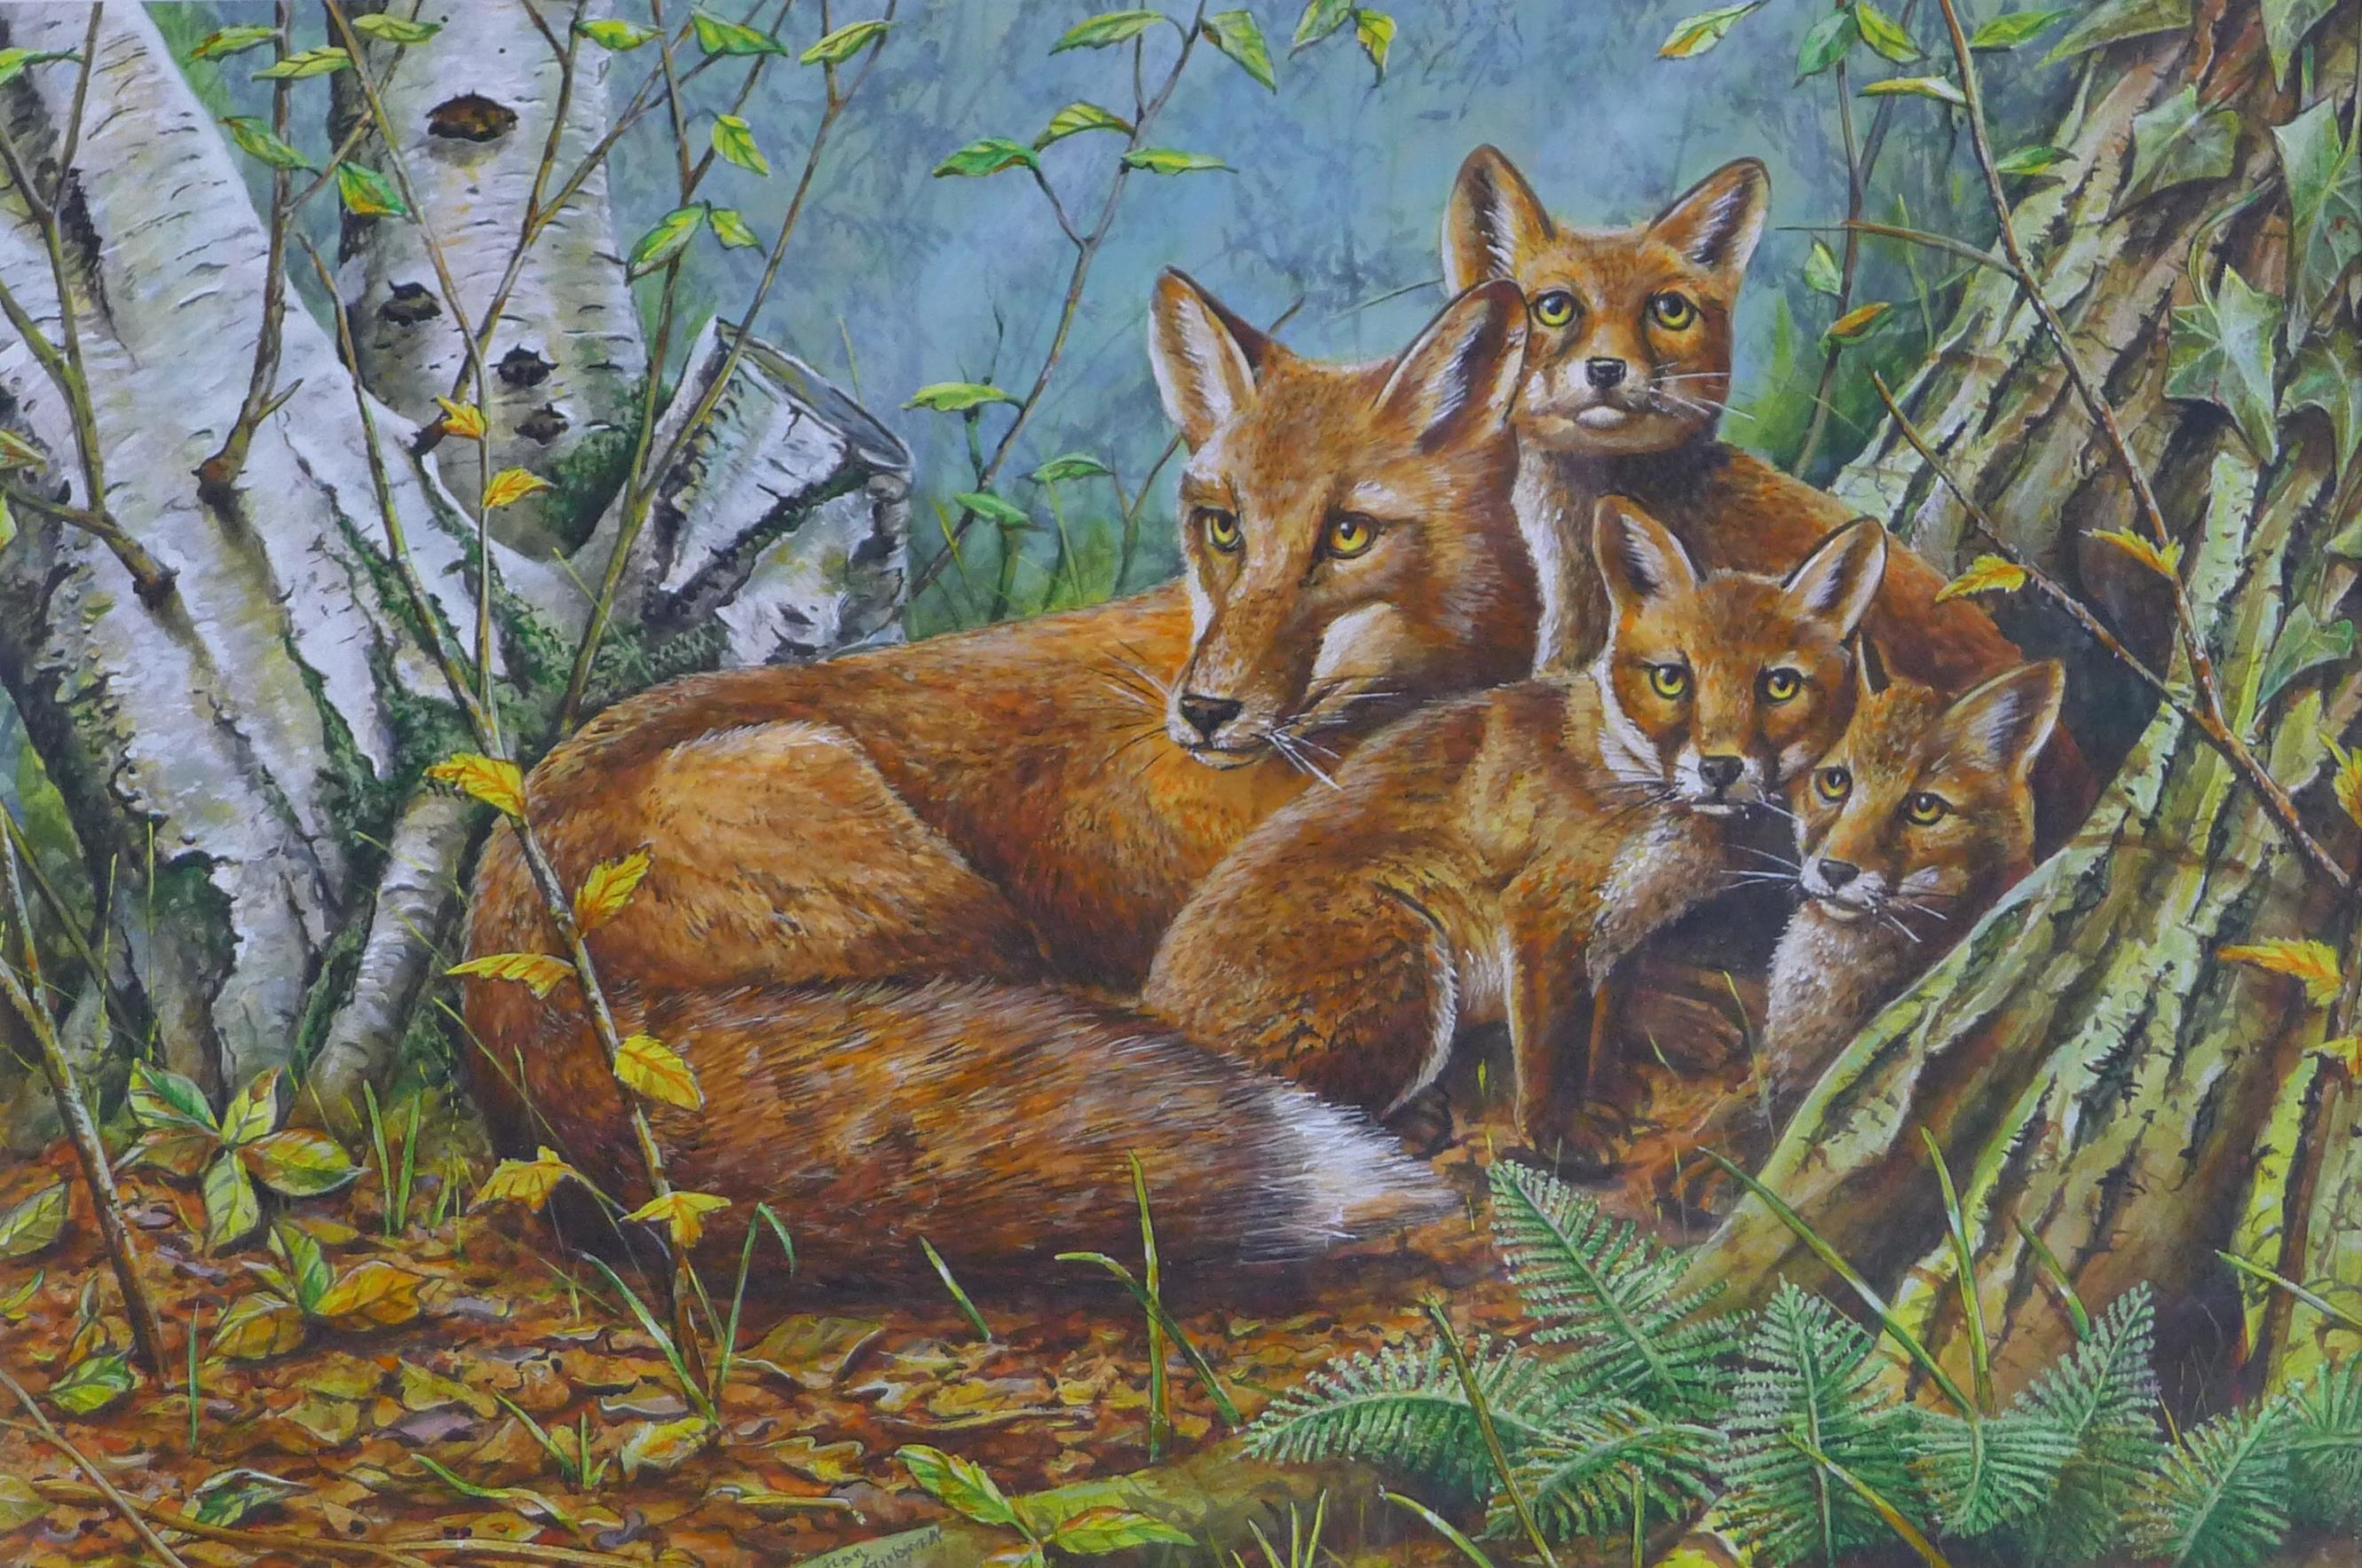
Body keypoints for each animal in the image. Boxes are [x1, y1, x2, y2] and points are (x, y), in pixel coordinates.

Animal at [1142, 499, 1888, 1159]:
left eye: (1778, 686)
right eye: (1672, 679)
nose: (1720, 768)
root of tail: (1154, 1007)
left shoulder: (1614, 925)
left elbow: (1601, 1019)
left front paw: (1616, 1072)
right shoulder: (1542, 909)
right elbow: (1549, 1047)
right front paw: (1559, 1137)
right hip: (1412, 973)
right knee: (1304, 1103)